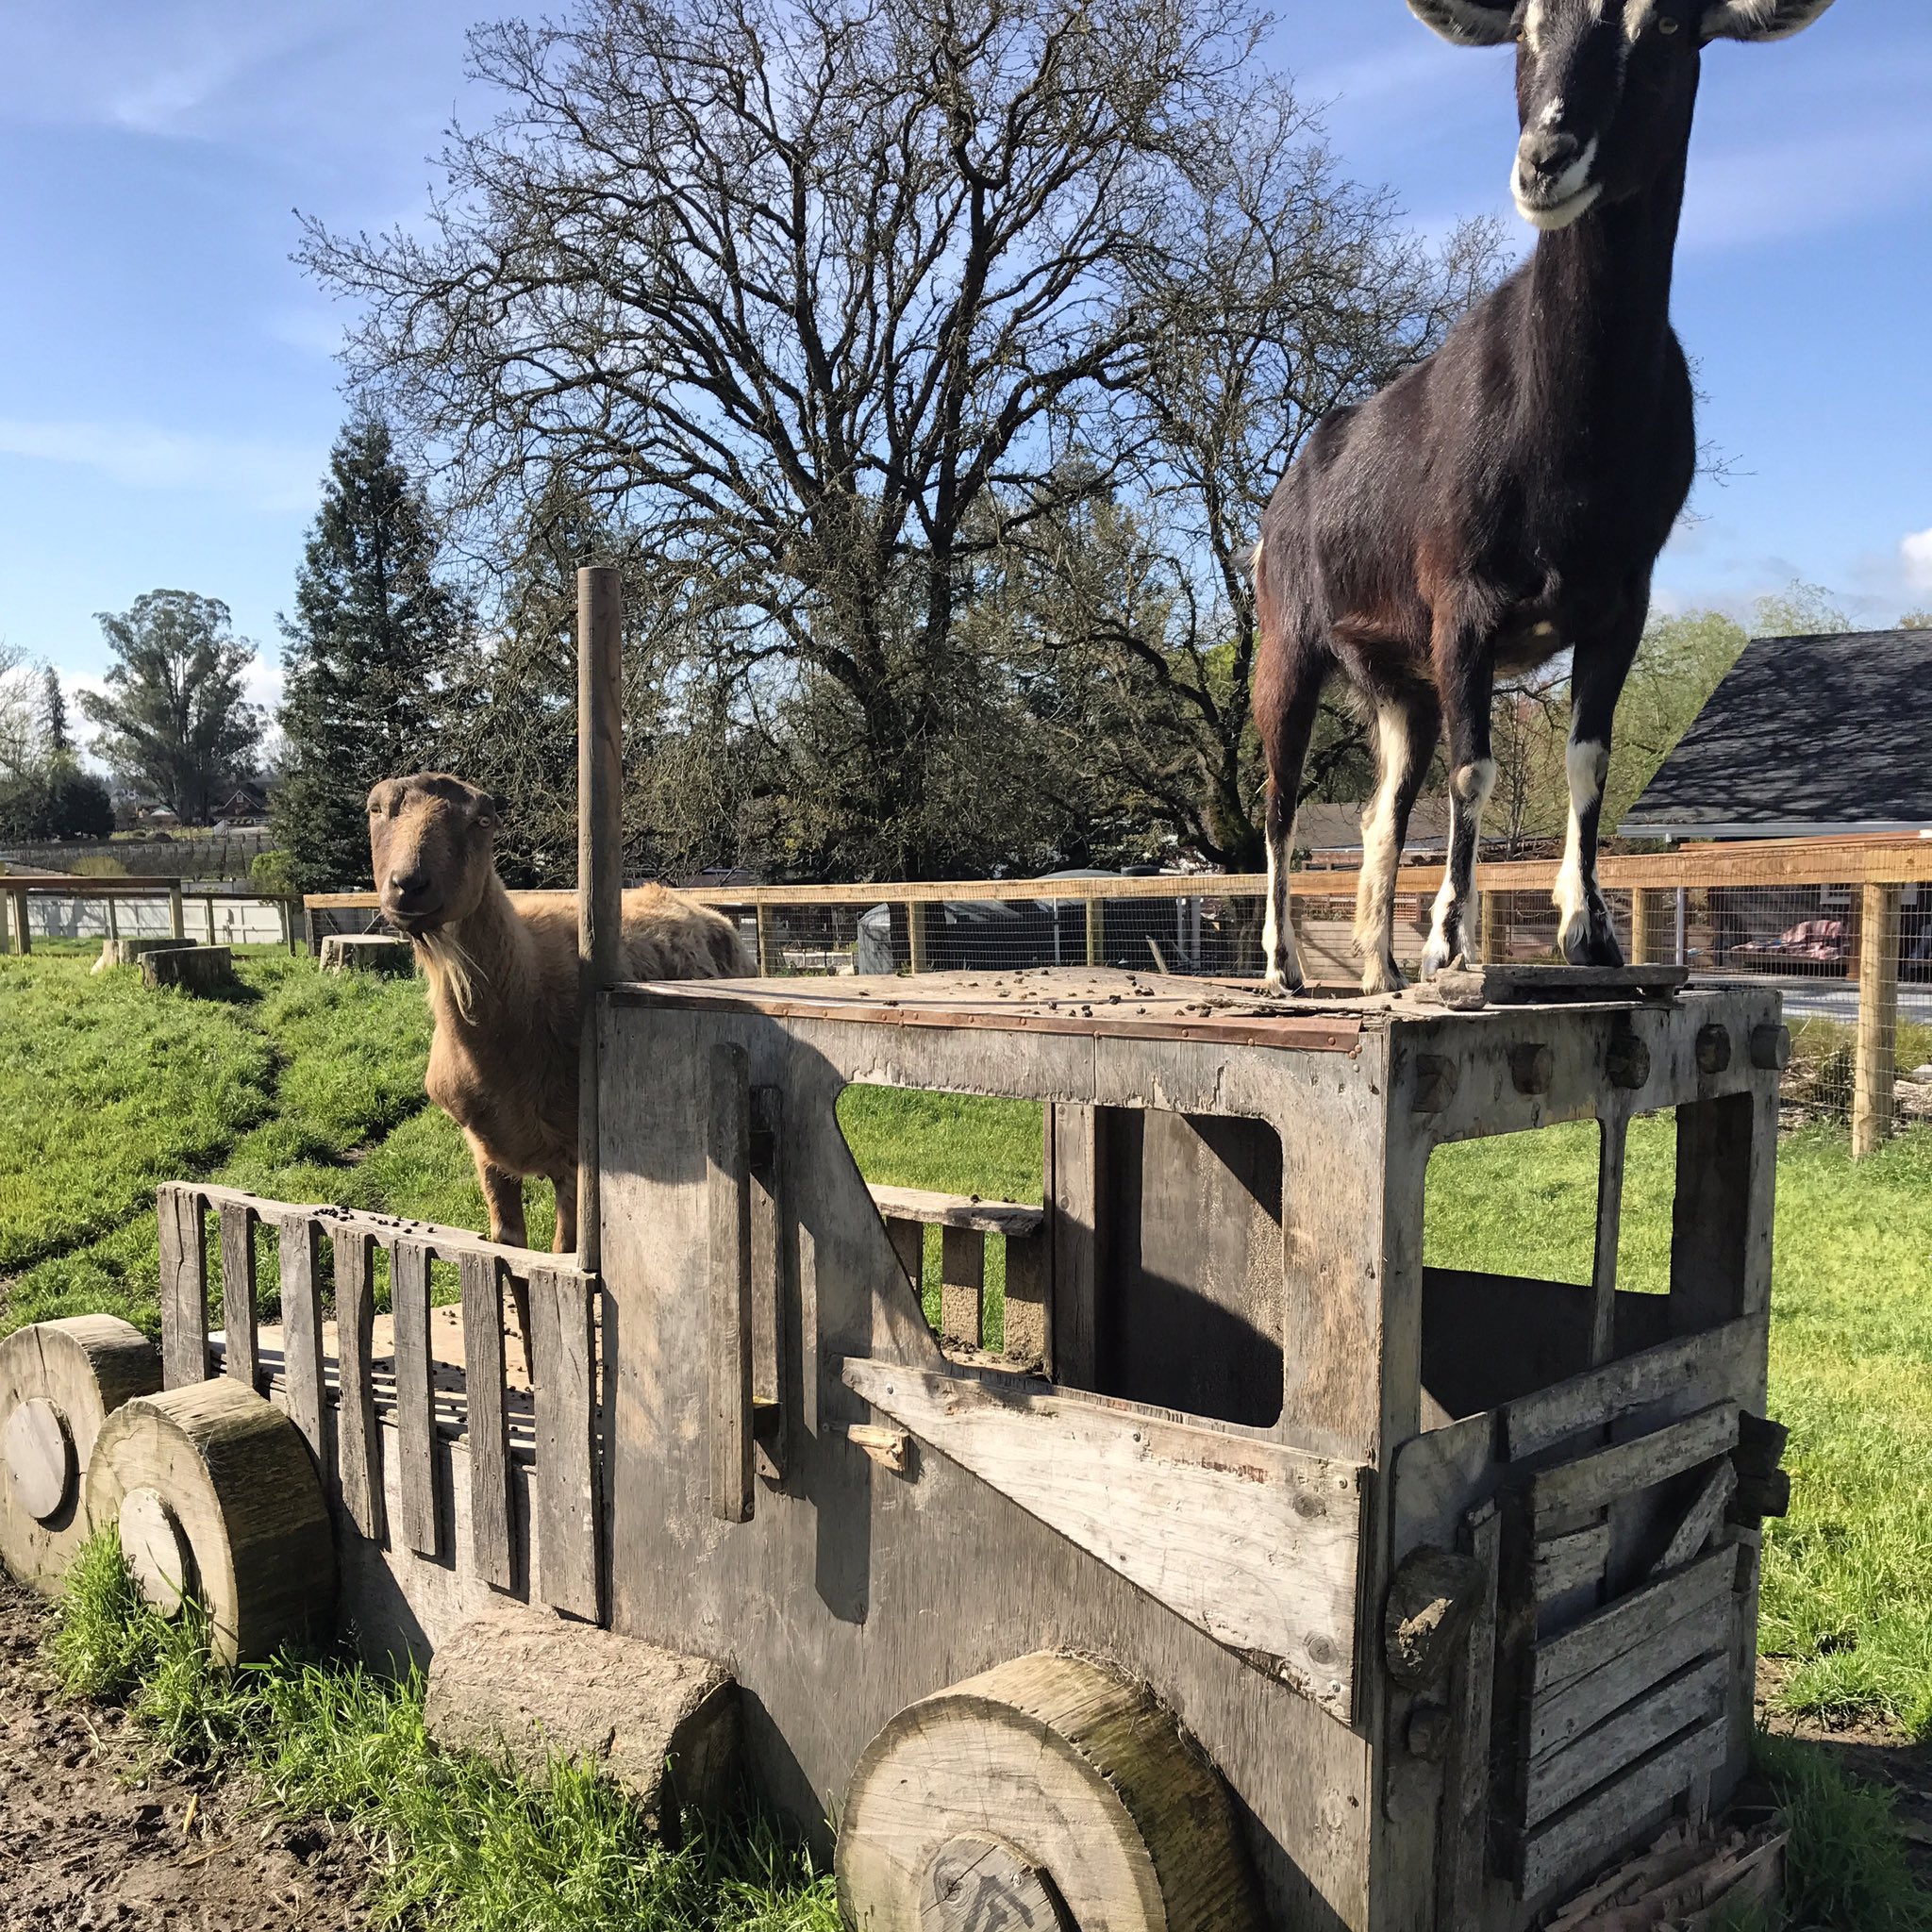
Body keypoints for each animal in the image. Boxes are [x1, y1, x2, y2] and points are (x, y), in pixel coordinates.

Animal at [368, 773, 747, 1300]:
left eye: (483, 820)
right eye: (376, 810)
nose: (409, 886)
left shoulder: (572, 1157)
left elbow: (561, 1258)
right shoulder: (485, 1152)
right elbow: (510, 1258)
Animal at [1253, 0, 1836, 996]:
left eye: (1668, 27)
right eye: (1525, 24)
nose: (1543, 159)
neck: (1568, 442)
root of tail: (1287, 491)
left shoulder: (1621, 603)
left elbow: (1588, 761)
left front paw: (1588, 932)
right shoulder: (1461, 605)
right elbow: (1475, 771)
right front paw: (1452, 945)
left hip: (1399, 686)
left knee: (1379, 812)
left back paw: (1378, 972)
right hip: (1287, 643)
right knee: (1279, 799)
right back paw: (1287, 965)